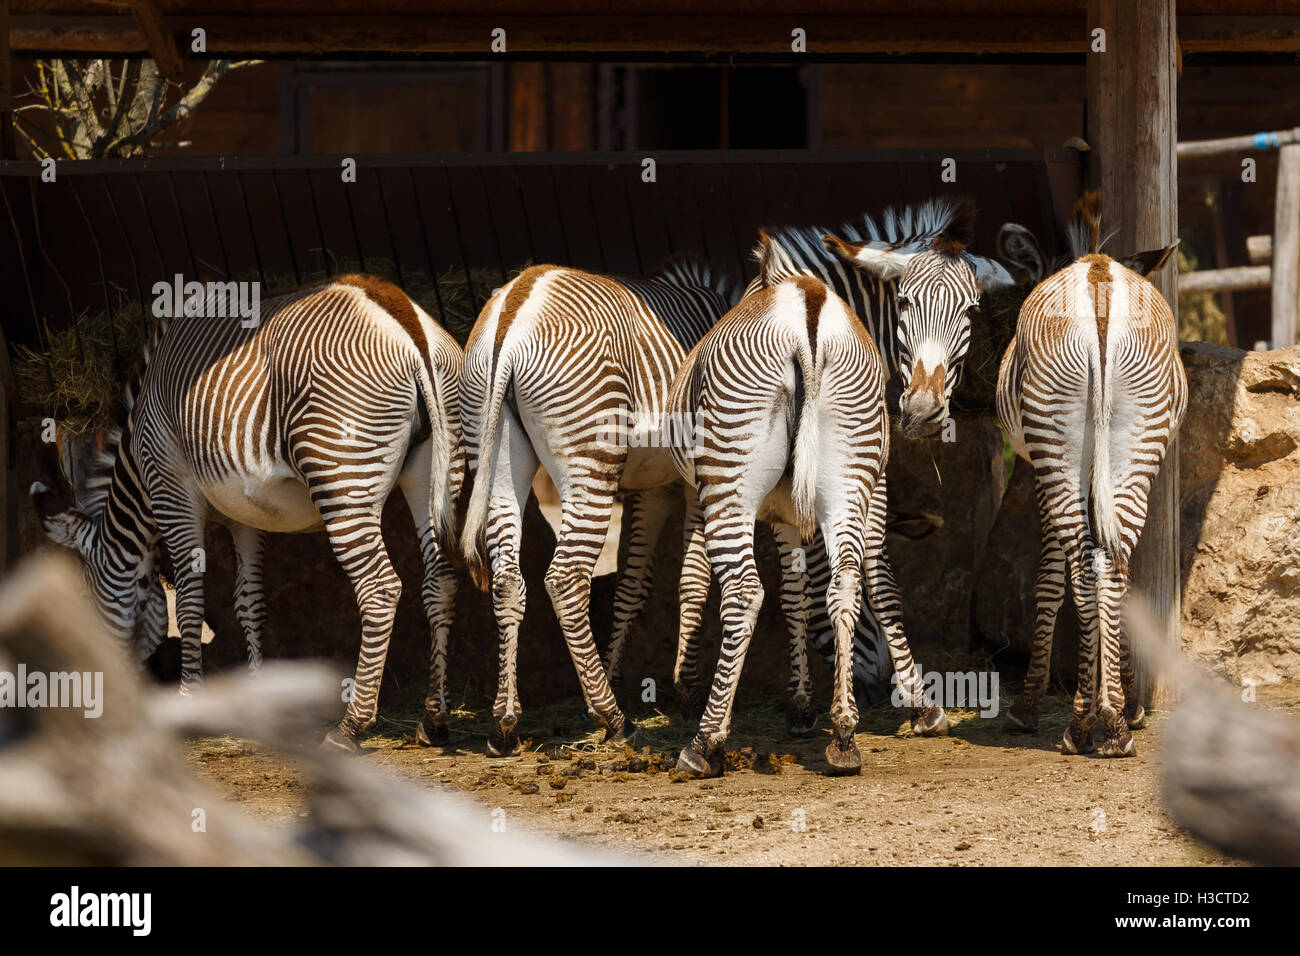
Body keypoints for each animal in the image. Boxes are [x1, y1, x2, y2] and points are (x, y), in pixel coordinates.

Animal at [31, 274, 465, 753]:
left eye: (82, 602)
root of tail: (403, 318)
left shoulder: (171, 492)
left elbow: (189, 601)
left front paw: (188, 702)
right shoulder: (245, 516)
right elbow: (248, 600)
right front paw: (259, 699)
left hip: (342, 476)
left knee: (380, 589)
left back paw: (350, 726)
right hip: (432, 472)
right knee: (441, 580)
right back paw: (434, 718)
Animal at [459, 258, 735, 757]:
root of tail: (516, 306)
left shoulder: (651, 488)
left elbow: (632, 582)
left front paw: (616, 670)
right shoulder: (689, 481)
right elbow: (692, 579)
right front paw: (688, 689)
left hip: (493, 446)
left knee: (507, 578)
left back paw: (504, 724)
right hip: (590, 453)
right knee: (565, 578)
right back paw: (614, 719)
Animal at [667, 275, 929, 777]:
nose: (880, 685)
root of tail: (809, 304)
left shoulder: (723, 500)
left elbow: (698, 578)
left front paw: (690, 690)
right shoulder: (790, 514)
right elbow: (797, 594)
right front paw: (803, 705)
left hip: (729, 478)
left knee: (744, 592)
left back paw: (703, 743)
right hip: (850, 468)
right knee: (846, 583)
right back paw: (845, 736)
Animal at [995, 192, 1184, 758]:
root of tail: (1099, 279)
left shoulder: (1035, 468)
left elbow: (1048, 577)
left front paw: (1027, 705)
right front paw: (1125, 699)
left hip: (1058, 450)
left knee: (1081, 567)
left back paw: (1081, 724)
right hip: (1133, 442)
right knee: (1114, 564)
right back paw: (1115, 723)